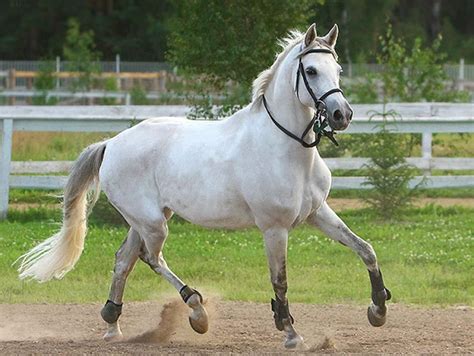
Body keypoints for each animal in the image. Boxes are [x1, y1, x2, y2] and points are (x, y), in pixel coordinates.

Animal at [17, 24, 388, 348]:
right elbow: (280, 281)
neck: (288, 149)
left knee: (124, 259)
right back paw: (196, 310)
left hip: (145, 220)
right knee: (150, 257)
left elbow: (366, 249)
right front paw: (291, 334)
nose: (342, 115)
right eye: (310, 71)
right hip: (153, 223)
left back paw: (113, 325)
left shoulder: (318, 214)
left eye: (338, 69)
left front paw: (378, 310)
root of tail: (111, 144)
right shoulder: (274, 228)